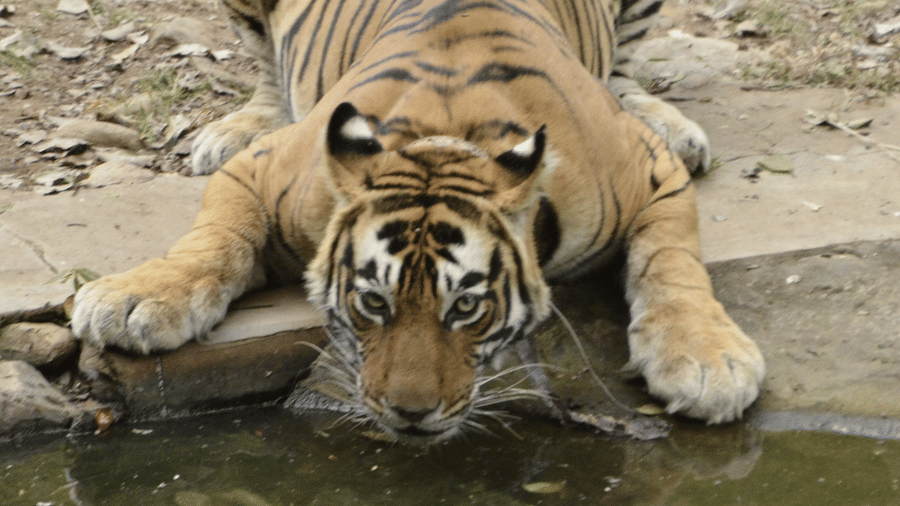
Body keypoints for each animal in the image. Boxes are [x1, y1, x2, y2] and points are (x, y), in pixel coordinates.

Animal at [72, 0, 765, 443]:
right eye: (371, 303)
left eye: (467, 308)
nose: (408, 412)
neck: (446, 138)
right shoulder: (262, 170)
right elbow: (212, 239)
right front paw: (134, 299)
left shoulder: (649, 170)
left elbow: (671, 263)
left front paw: (705, 361)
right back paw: (230, 129)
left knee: (624, 69)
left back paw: (673, 127)